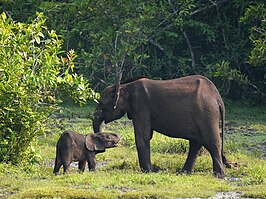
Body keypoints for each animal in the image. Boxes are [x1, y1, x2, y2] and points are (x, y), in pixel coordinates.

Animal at [92, 75, 234, 178]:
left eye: (101, 104)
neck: (124, 86)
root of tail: (217, 97)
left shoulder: (140, 107)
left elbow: (143, 136)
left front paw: (149, 171)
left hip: (207, 114)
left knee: (211, 142)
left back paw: (219, 176)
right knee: (196, 143)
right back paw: (184, 172)